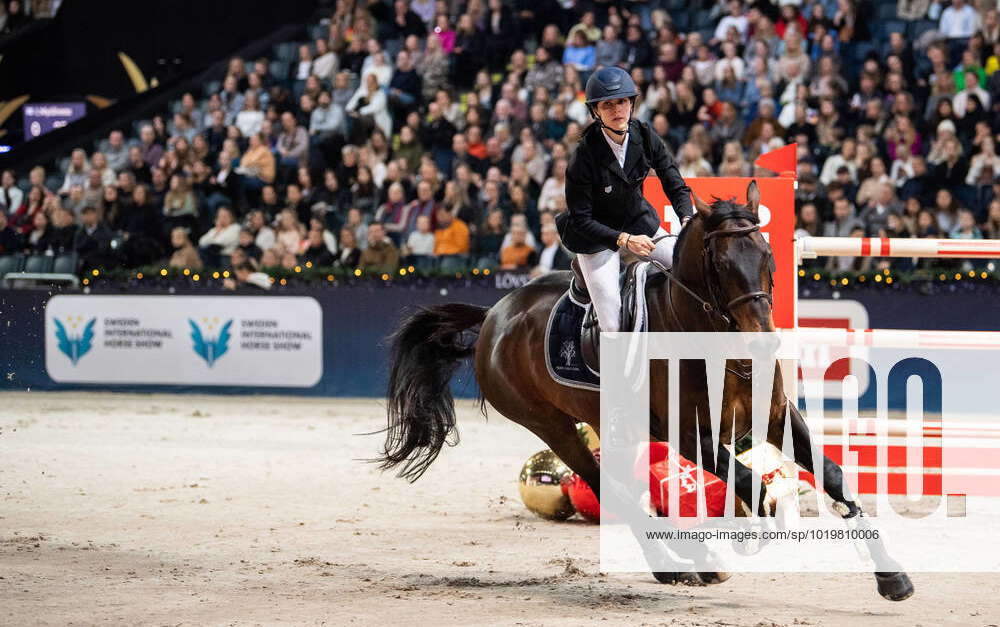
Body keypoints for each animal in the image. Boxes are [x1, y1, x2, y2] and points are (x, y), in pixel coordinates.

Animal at [377, 180, 914, 601]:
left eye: (768, 258)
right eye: (721, 264)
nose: (763, 343)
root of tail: (494, 313)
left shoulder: (777, 416)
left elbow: (834, 476)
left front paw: (892, 577)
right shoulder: (691, 435)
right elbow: (746, 482)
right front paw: (758, 526)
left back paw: (689, 561)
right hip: (550, 424)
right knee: (603, 485)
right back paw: (677, 564)